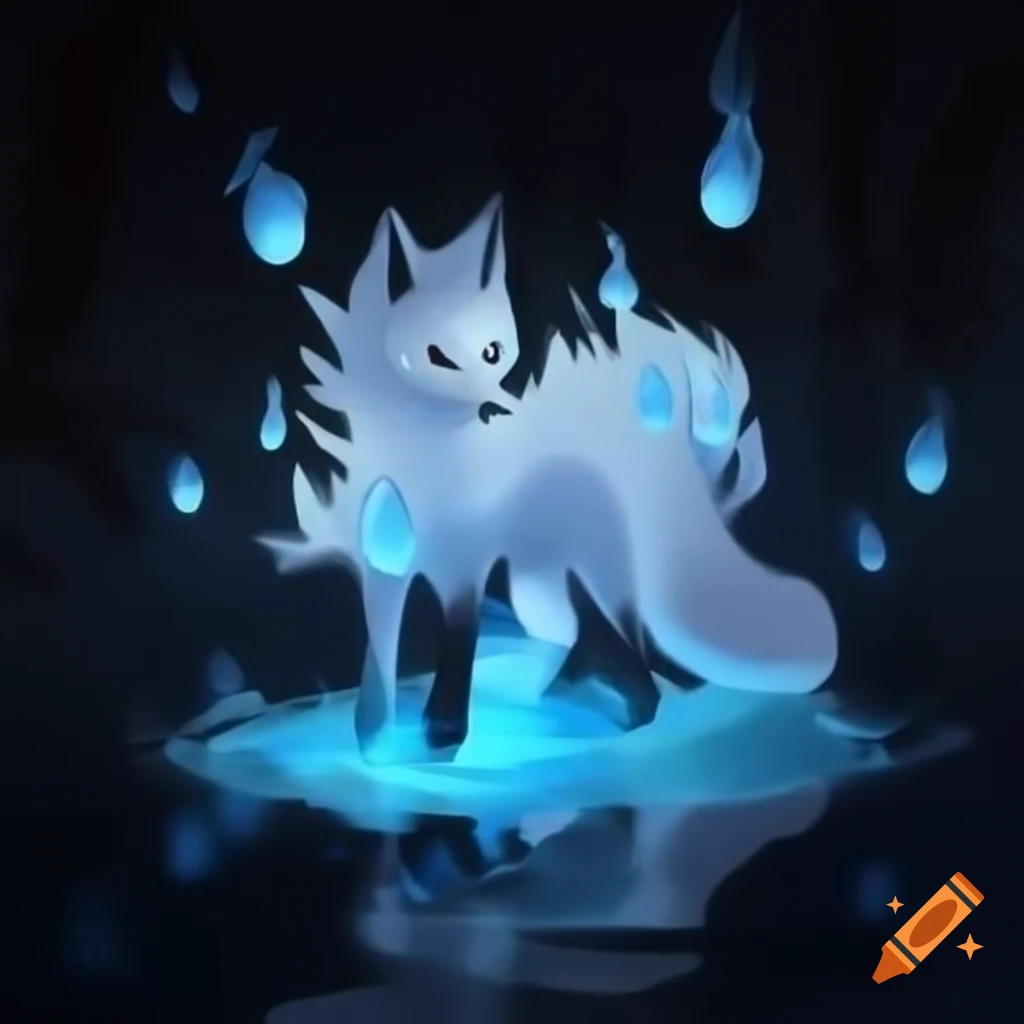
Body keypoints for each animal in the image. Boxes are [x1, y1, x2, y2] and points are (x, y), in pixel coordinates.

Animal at [258, 194, 838, 765]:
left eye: (493, 351)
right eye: (437, 357)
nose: (499, 404)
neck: (430, 461)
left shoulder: (463, 570)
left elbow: (457, 650)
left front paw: (441, 736)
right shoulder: (382, 575)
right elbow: (378, 666)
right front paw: (377, 746)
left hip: (595, 570)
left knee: (628, 644)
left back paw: (624, 713)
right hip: (541, 574)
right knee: (591, 637)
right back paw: (568, 690)